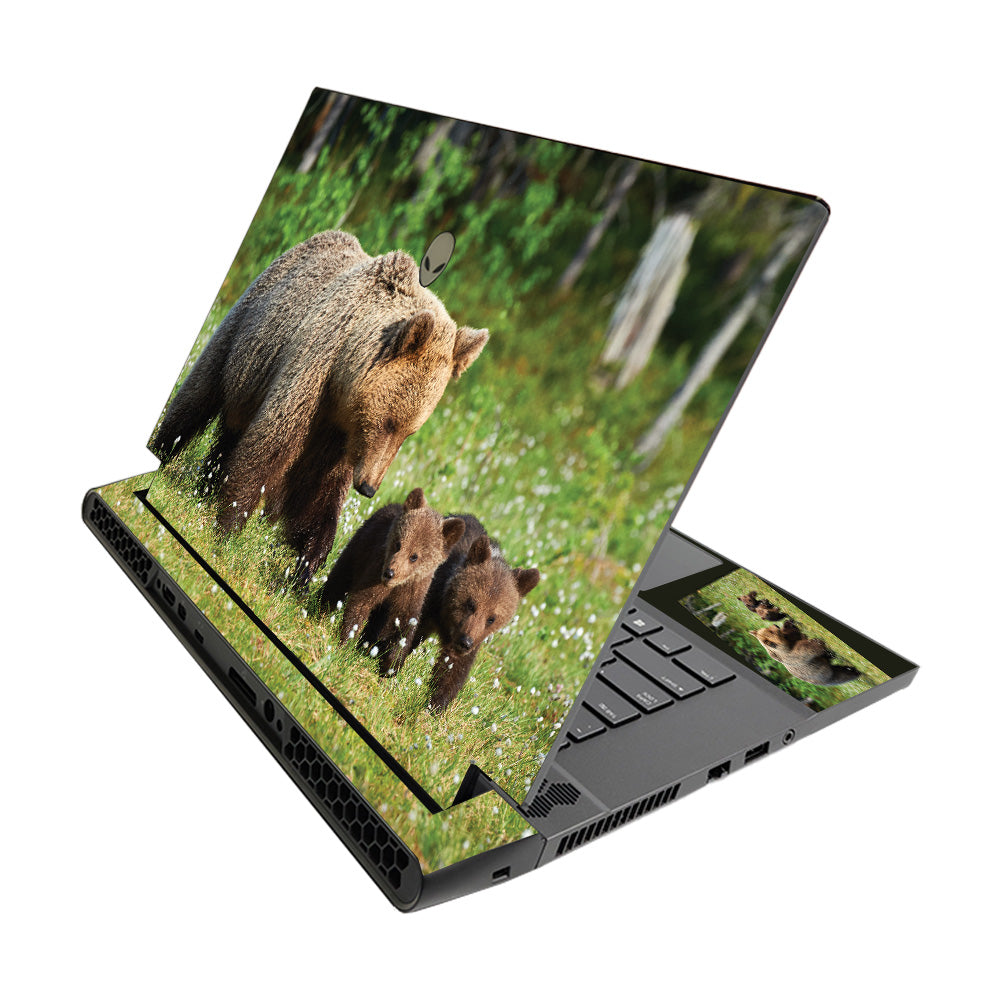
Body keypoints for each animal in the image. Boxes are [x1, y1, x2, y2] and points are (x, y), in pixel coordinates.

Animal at [149, 230, 488, 585]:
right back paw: (164, 451)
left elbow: (317, 497)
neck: (343, 383)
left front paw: (304, 567)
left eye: (409, 433)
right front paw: (227, 529)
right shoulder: (313, 375)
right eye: (390, 423)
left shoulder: (338, 436)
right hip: (247, 335)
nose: (369, 487)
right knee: (199, 396)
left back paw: (206, 483)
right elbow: (268, 447)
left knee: (230, 433)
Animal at [320, 487, 465, 676]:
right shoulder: (374, 574)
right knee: (339, 578)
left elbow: (404, 627)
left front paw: (391, 667)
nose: (389, 573)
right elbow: (360, 604)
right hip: (358, 549)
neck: (397, 585)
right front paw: (345, 642)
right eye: (398, 543)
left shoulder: (412, 594)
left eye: (414, 556)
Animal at [406, 515, 540, 712]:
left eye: (492, 618)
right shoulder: (430, 604)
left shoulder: (474, 638)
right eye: (471, 604)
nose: (465, 642)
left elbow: (453, 670)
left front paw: (436, 705)